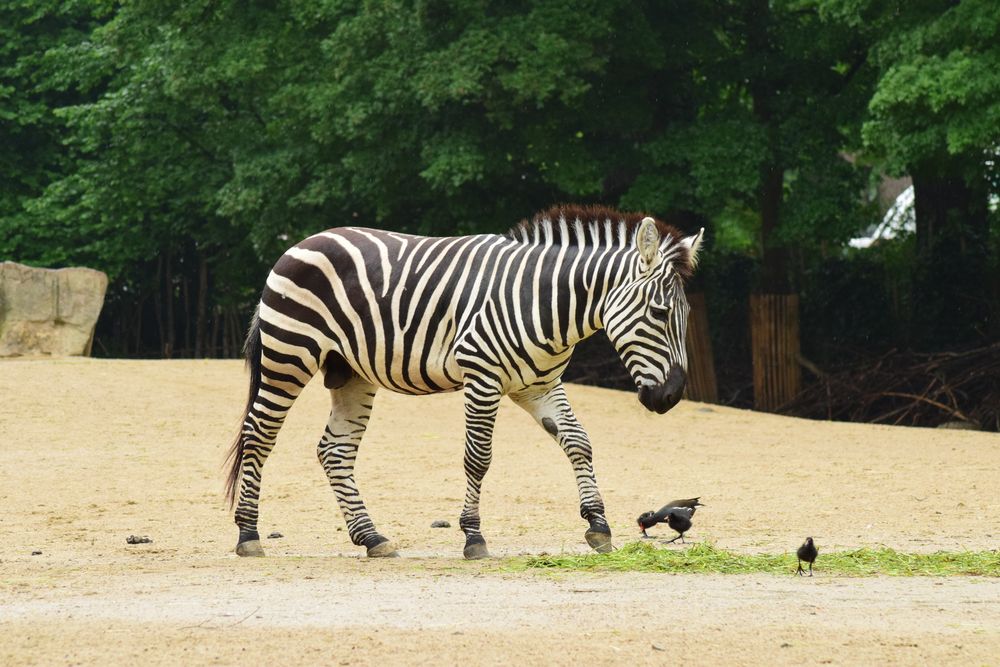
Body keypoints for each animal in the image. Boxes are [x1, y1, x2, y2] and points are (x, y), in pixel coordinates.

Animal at [225, 205, 703, 559]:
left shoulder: (539, 385)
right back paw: (248, 535)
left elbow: (578, 442)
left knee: (335, 451)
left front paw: (598, 525)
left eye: (685, 317)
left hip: (350, 372)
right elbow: (478, 459)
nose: (670, 397)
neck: (543, 303)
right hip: (289, 355)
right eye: (660, 313)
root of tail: (300, 243)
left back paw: (372, 538)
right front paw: (473, 536)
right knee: (258, 436)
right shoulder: (483, 377)